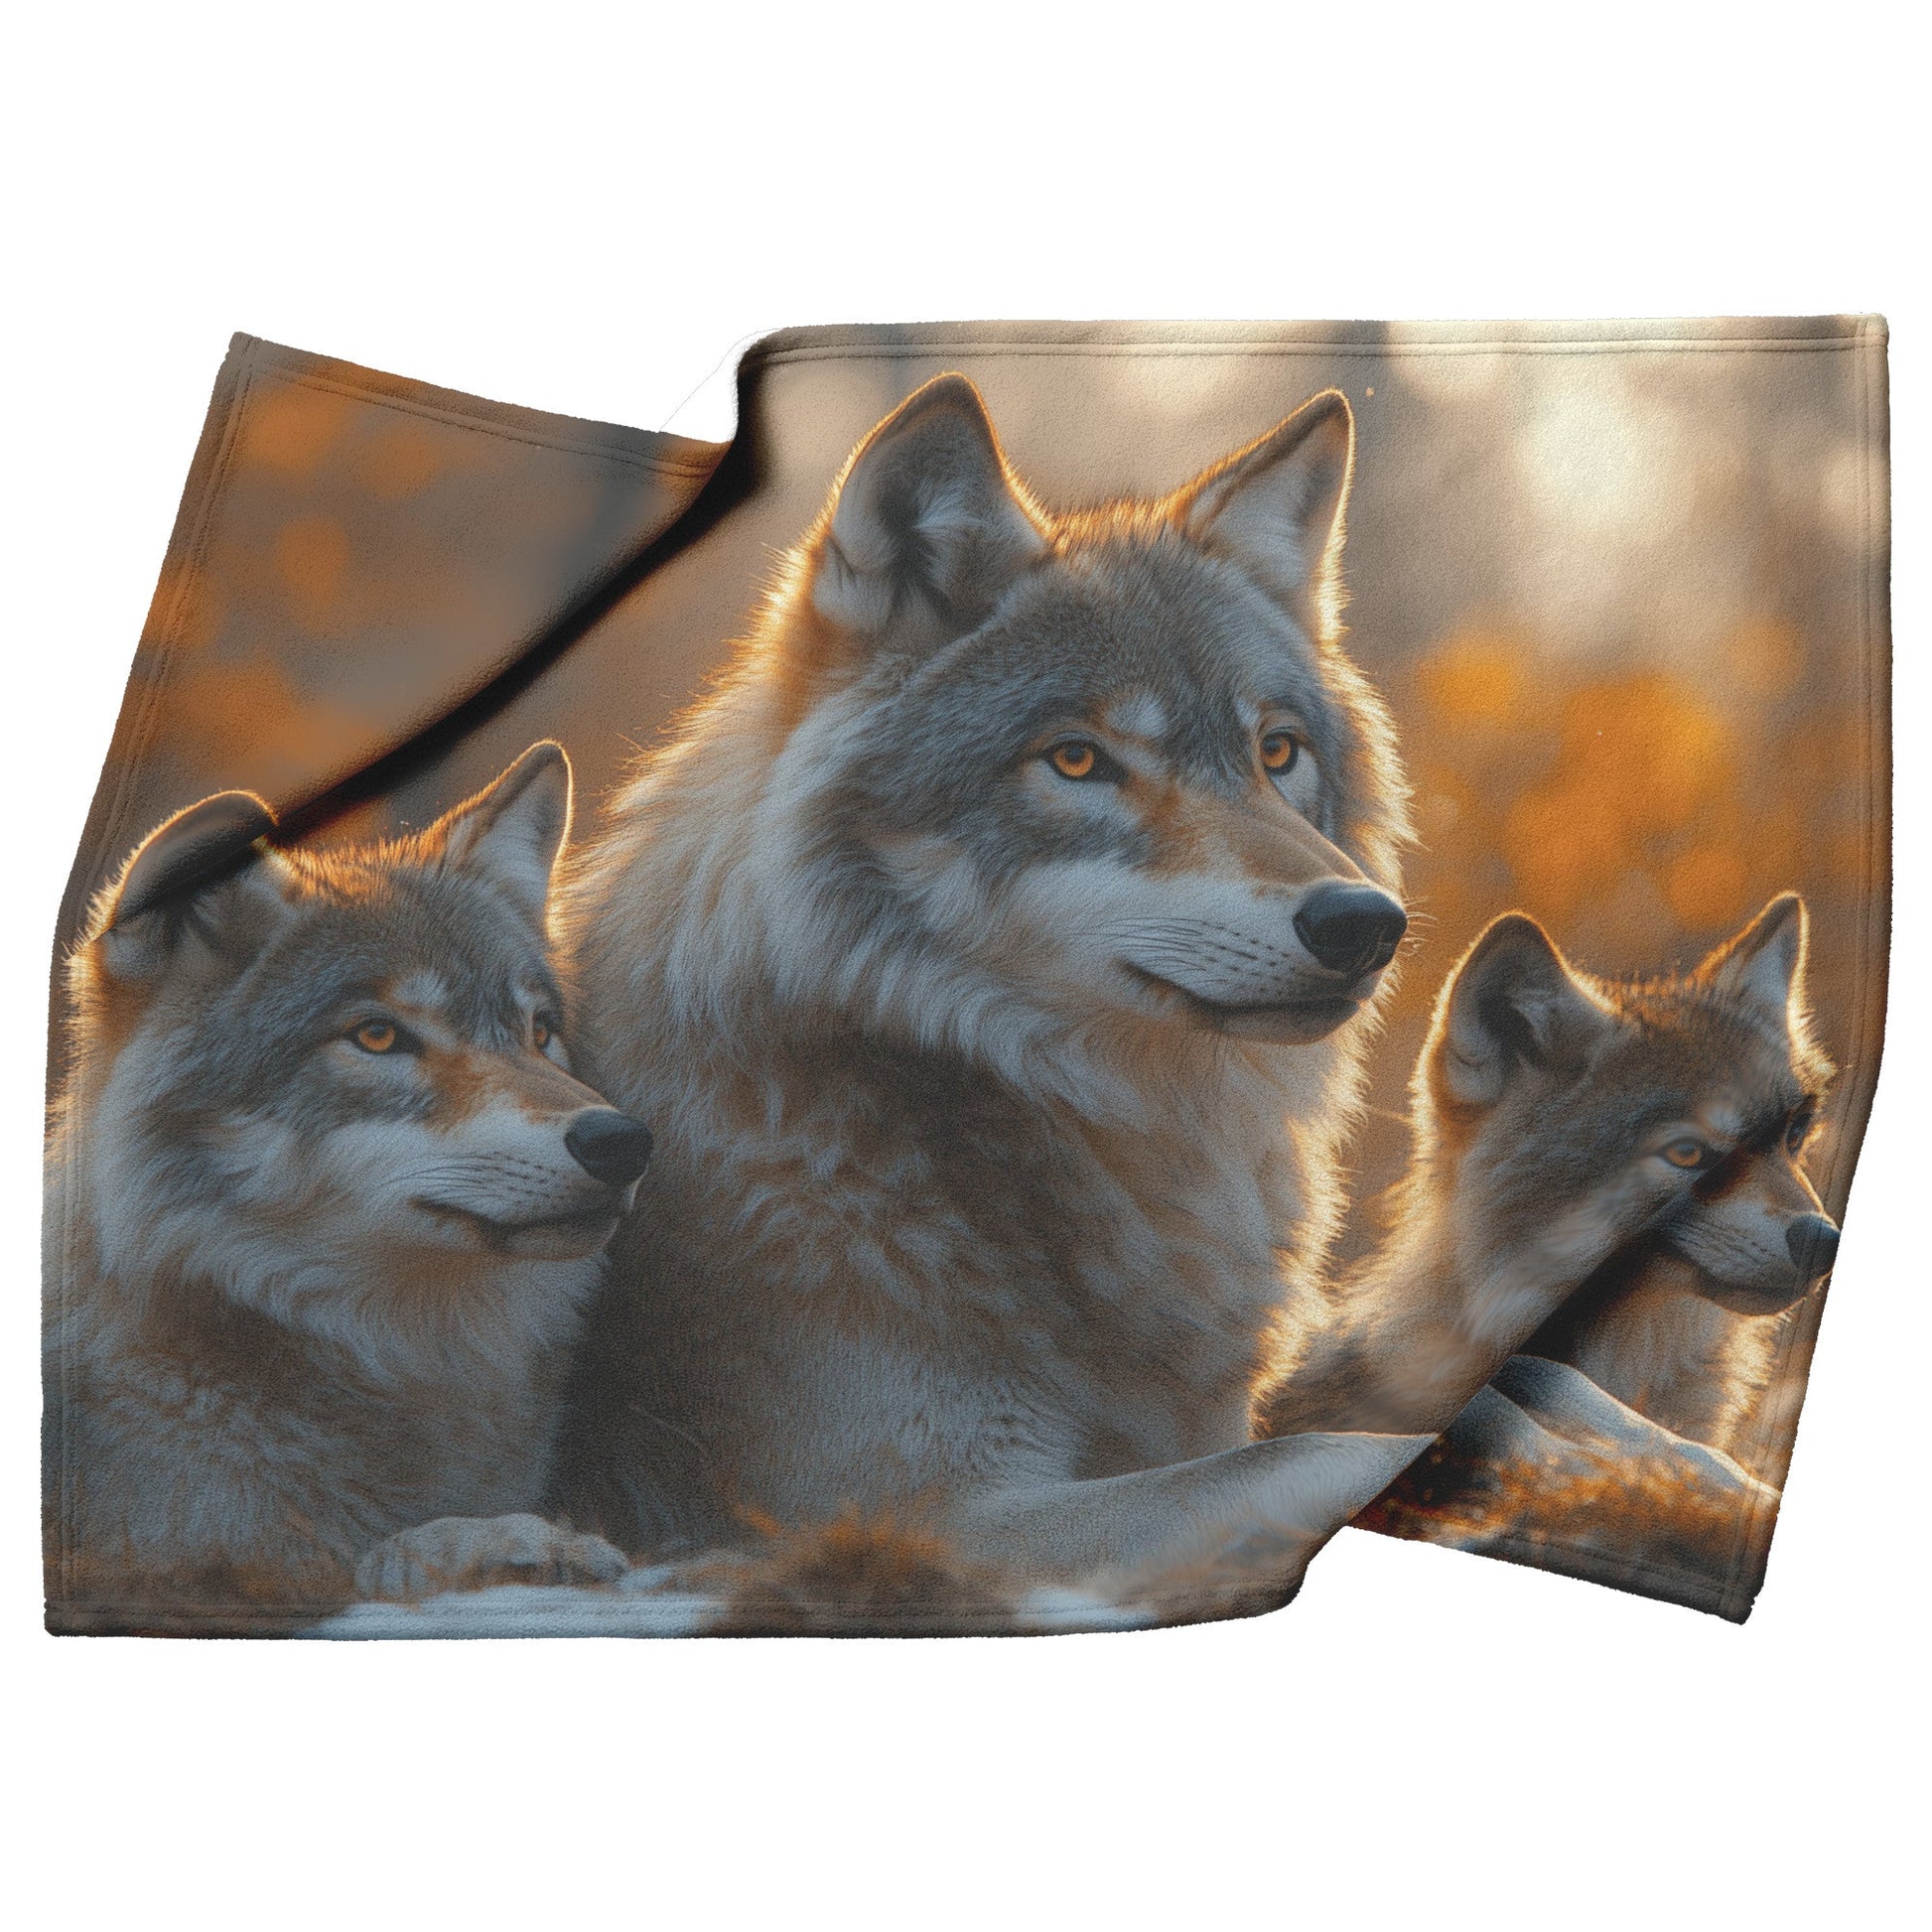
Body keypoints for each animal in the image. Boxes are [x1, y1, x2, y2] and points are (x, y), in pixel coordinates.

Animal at [44, 743, 651, 1630]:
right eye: (377, 1037)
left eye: (540, 1033)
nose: (623, 1143)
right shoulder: (191, 1561)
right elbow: (374, 1558)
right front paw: (509, 1543)